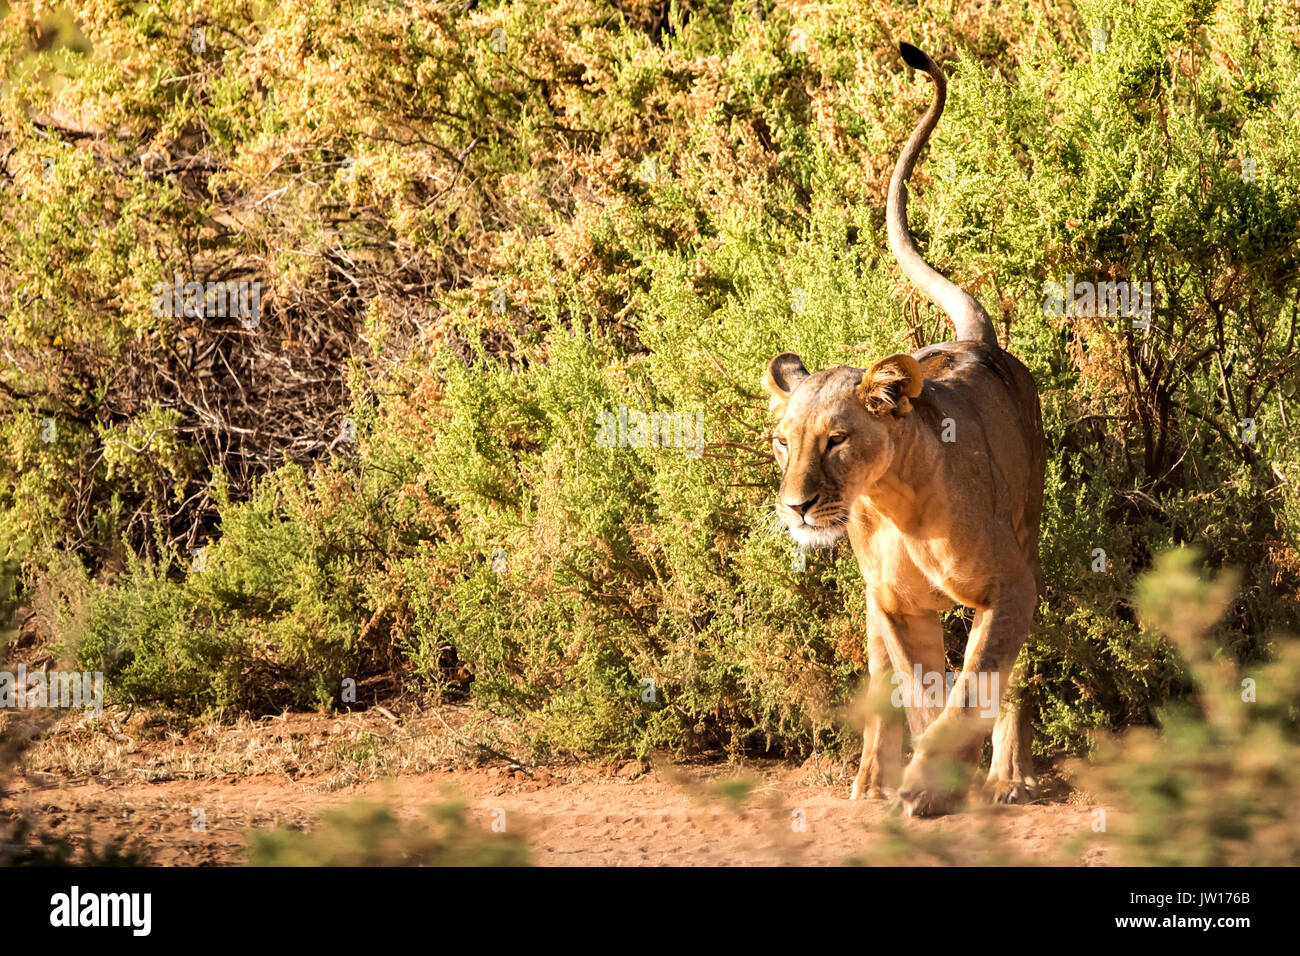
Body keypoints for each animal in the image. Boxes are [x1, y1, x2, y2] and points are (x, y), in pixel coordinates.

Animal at [763, 43, 1046, 817]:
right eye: (784, 442)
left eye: (836, 440)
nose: (796, 507)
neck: (899, 504)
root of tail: (974, 340)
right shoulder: (897, 609)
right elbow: (922, 699)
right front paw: (923, 783)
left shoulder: (1011, 586)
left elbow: (975, 687)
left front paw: (941, 785)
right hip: (872, 601)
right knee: (881, 680)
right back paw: (869, 780)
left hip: (1030, 535)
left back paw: (1008, 777)